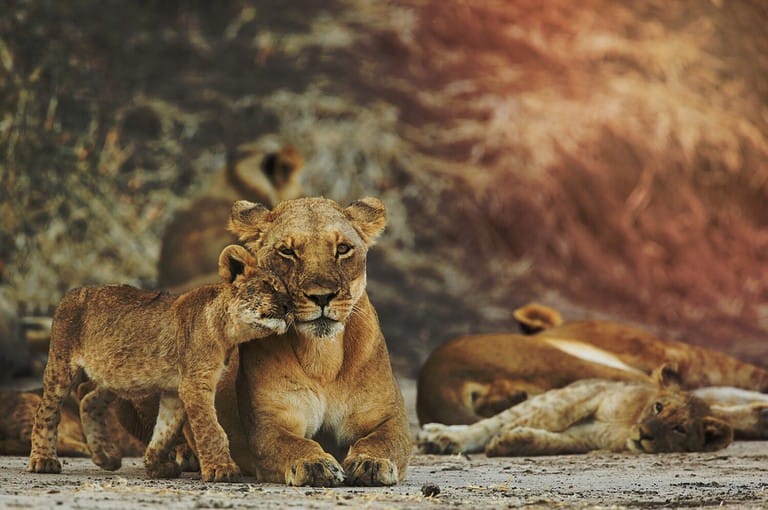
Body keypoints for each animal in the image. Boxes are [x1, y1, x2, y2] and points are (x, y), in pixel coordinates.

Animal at [29, 245, 291, 482]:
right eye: (268, 286)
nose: (289, 307)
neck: (228, 332)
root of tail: (71, 293)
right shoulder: (195, 383)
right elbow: (211, 429)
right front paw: (222, 469)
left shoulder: (174, 390)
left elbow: (164, 431)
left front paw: (157, 467)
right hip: (61, 366)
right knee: (46, 412)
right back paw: (44, 460)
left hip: (114, 377)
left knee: (88, 399)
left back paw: (107, 457)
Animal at [223, 196, 412, 487]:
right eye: (287, 251)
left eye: (342, 249)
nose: (322, 296)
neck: (323, 356)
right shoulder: (268, 423)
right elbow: (295, 444)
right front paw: (314, 464)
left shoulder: (390, 417)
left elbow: (382, 441)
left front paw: (370, 462)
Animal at [417, 365, 736, 456]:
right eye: (658, 407)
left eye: (679, 429)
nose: (644, 434)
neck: (626, 425)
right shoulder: (591, 393)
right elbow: (554, 415)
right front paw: (512, 430)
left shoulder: (587, 438)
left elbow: (550, 441)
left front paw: (511, 442)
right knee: (484, 425)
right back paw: (439, 437)